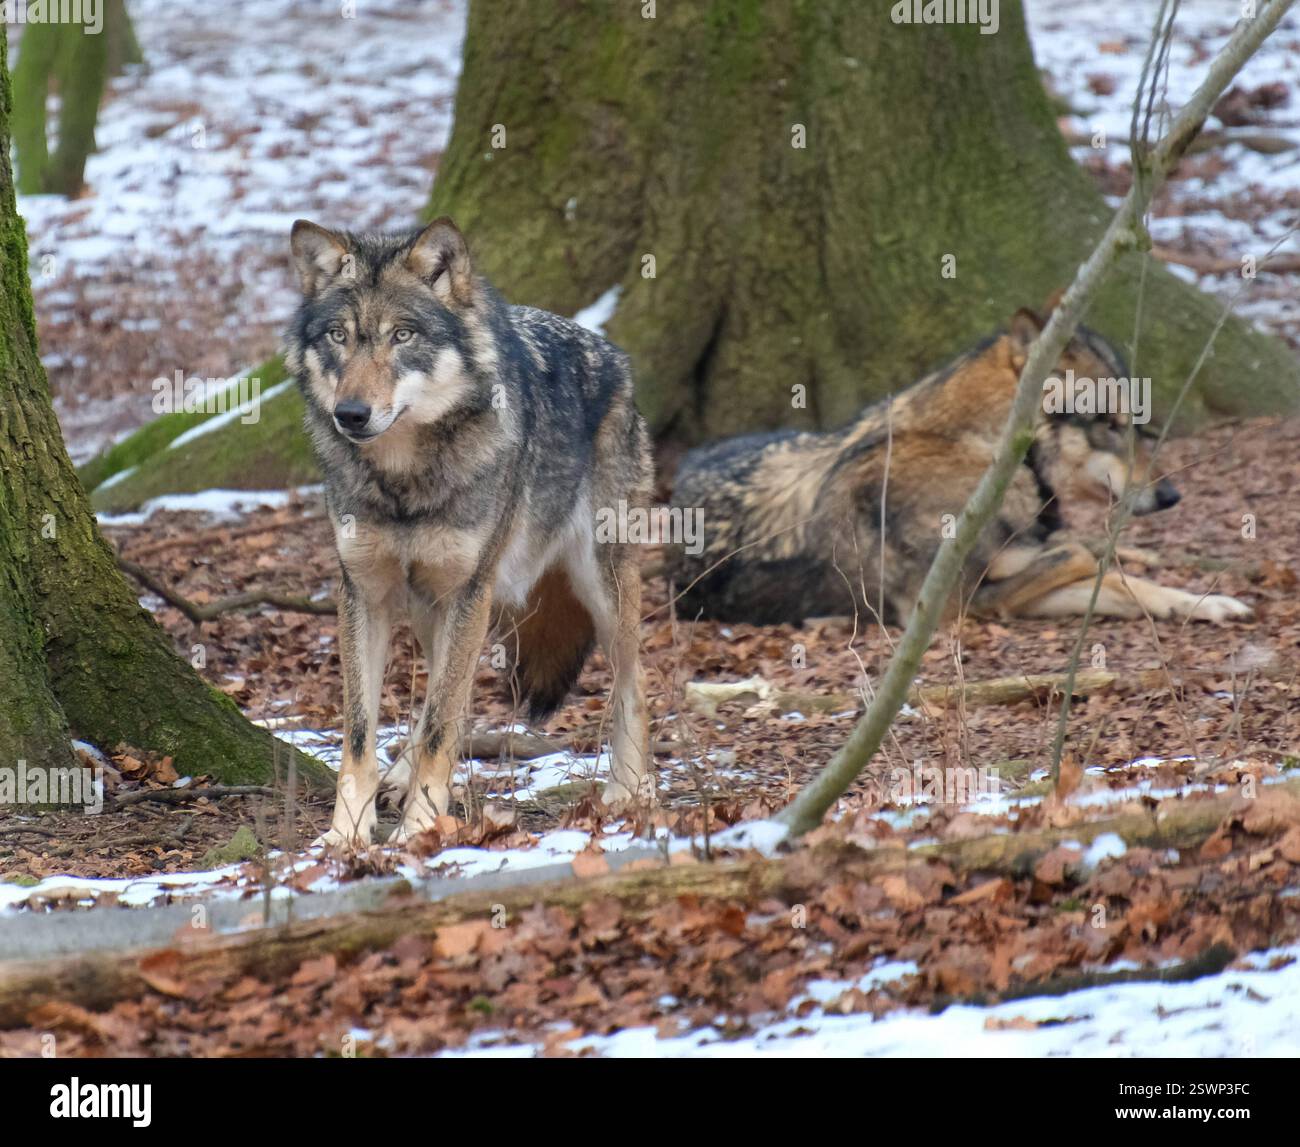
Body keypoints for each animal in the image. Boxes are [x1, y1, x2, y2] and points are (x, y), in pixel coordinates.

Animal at [285, 217, 655, 848]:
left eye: (402, 336)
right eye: (338, 336)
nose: (350, 414)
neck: (404, 480)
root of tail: (617, 356)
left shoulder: (468, 590)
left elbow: (440, 724)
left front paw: (416, 831)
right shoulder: (364, 592)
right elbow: (362, 731)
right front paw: (346, 837)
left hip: (600, 586)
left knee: (635, 684)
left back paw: (632, 793)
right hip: (434, 606)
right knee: (445, 697)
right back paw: (401, 776)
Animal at [666, 307, 1252, 628]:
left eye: (1137, 422)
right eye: (1107, 424)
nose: (1172, 496)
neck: (981, 452)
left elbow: (1117, 581)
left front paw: (1204, 602)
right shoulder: (948, 605)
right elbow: (1081, 557)